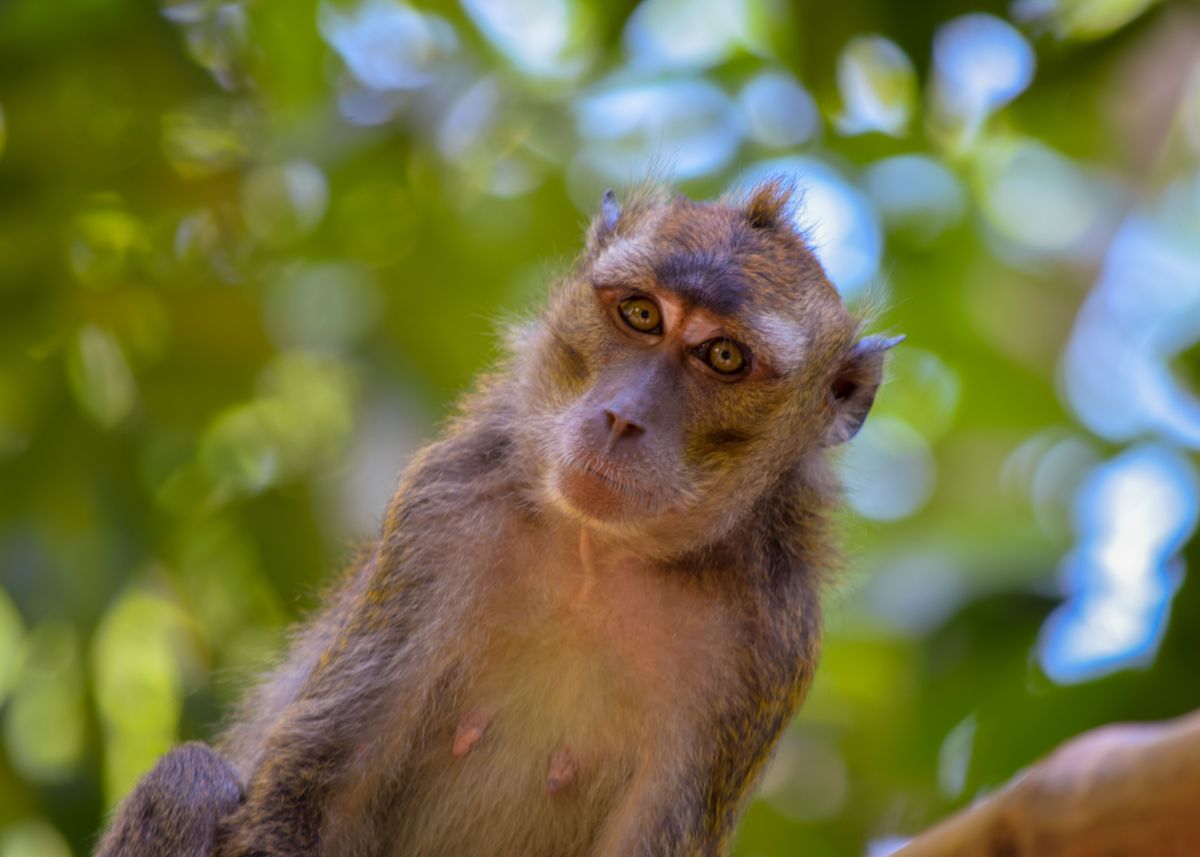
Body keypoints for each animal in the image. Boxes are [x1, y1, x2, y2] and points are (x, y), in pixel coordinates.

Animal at [94, 178, 900, 857]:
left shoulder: (770, 644)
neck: (598, 555)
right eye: (641, 314)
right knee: (188, 779)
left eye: (724, 357)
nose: (622, 418)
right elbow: (313, 793)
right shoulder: (441, 509)